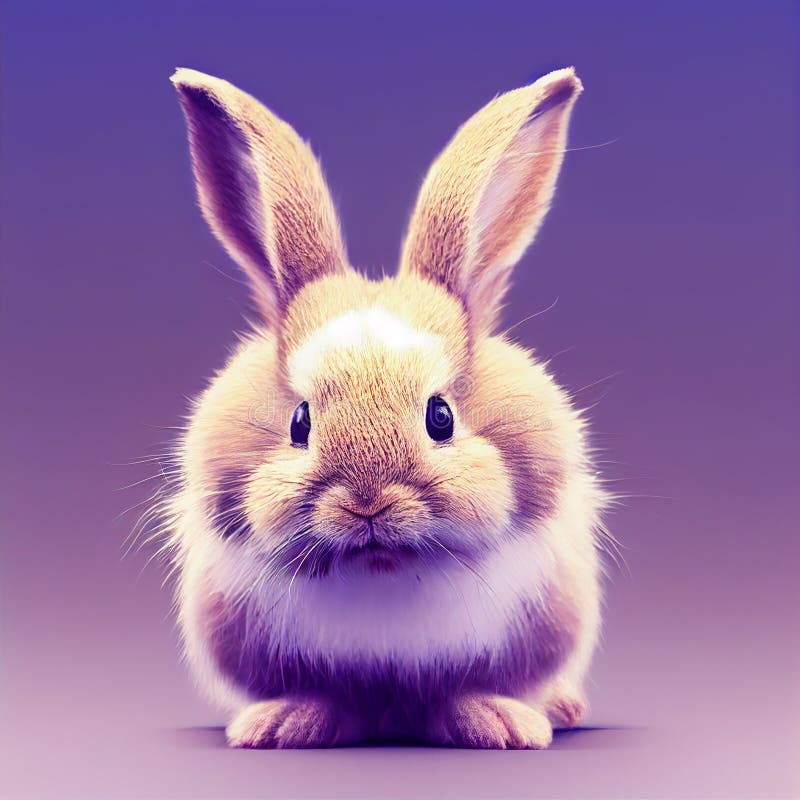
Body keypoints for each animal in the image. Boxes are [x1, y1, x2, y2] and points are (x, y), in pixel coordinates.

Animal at [165, 65, 606, 749]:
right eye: (299, 422)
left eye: (440, 416)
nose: (368, 502)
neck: (383, 566)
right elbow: (327, 692)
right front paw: (280, 723)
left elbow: (460, 689)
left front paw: (502, 724)